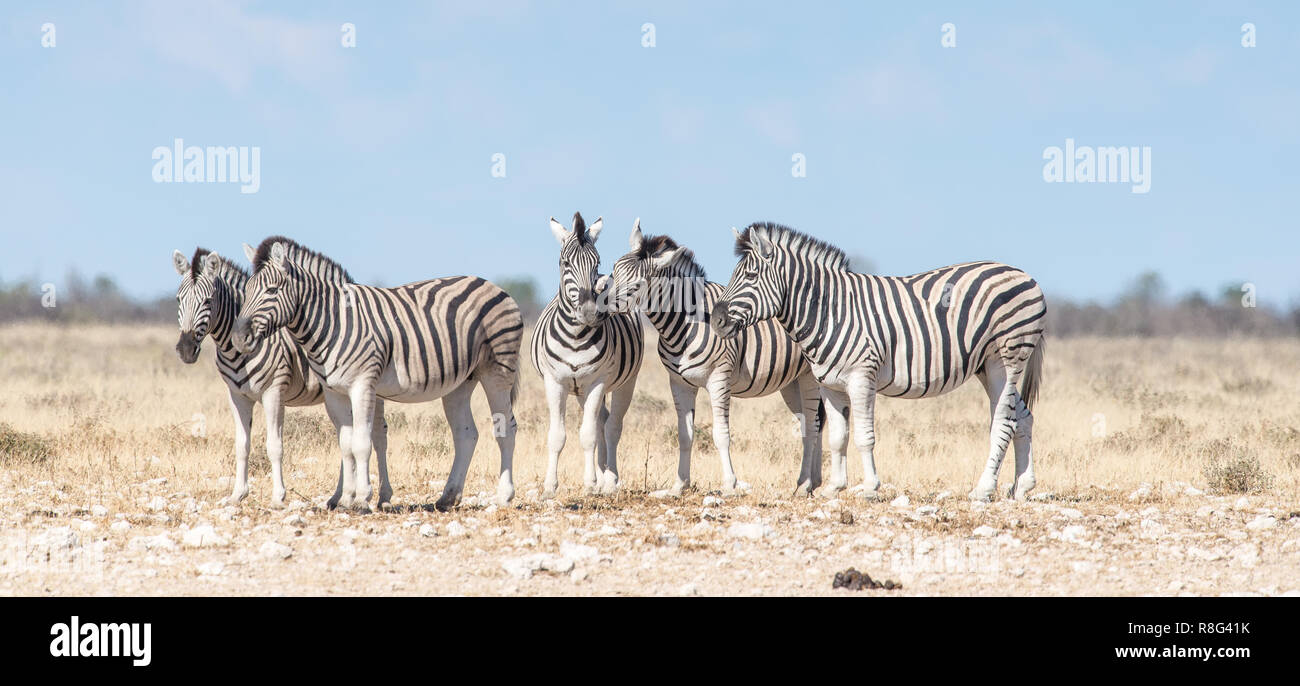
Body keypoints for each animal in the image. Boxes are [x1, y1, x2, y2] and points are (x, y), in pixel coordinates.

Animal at [171, 247, 390, 507]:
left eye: (207, 301)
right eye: (178, 299)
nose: (185, 349)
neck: (236, 350)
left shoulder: (273, 393)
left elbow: (274, 446)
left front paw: (278, 496)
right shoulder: (237, 396)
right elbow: (241, 445)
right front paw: (238, 494)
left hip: (372, 391)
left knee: (378, 435)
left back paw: (383, 496)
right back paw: (338, 496)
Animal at [229, 237, 523, 512]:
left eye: (271, 290)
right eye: (246, 290)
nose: (239, 338)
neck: (333, 320)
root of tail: (494, 286)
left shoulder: (362, 385)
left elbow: (361, 442)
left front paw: (362, 498)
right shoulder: (335, 393)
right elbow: (345, 444)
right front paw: (346, 499)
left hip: (497, 370)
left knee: (506, 428)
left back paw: (504, 496)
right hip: (461, 382)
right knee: (466, 433)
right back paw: (448, 498)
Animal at [531, 213, 644, 498]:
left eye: (597, 262)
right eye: (565, 263)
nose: (592, 313)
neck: (575, 336)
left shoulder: (597, 382)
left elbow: (589, 435)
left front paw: (591, 483)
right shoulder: (554, 382)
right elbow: (557, 436)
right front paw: (550, 487)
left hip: (626, 382)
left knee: (611, 426)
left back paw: (609, 480)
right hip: (581, 390)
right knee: (602, 421)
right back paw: (604, 476)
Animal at [604, 219, 824, 495]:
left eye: (637, 285)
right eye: (614, 270)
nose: (601, 306)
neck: (684, 324)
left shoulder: (719, 378)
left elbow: (721, 434)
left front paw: (729, 484)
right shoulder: (679, 383)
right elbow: (685, 435)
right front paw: (679, 485)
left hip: (809, 376)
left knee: (813, 426)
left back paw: (806, 484)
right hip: (791, 383)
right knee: (810, 423)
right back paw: (812, 481)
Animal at [712, 222, 1046, 501]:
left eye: (750, 276)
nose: (715, 320)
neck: (829, 311)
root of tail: (1026, 276)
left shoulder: (862, 377)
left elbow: (863, 437)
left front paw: (871, 488)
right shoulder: (829, 385)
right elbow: (837, 437)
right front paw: (834, 487)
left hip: (1009, 356)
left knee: (1003, 421)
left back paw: (984, 489)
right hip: (987, 367)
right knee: (1022, 417)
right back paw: (1022, 486)